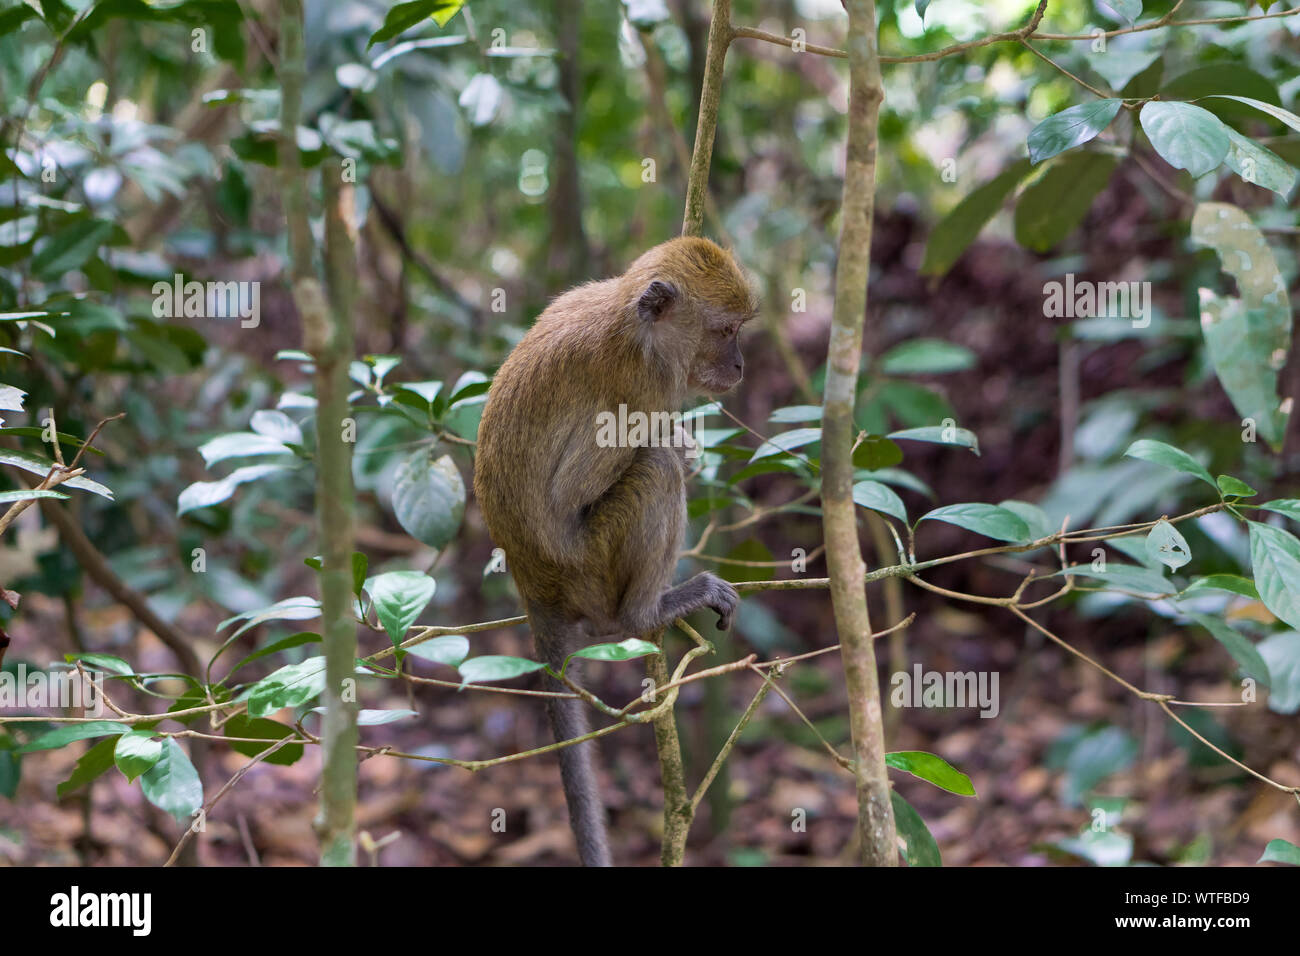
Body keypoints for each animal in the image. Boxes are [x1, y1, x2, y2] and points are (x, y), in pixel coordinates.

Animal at [473, 236, 758, 866]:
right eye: (725, 330)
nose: (741, 365)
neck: (634, 327)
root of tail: (534, 588)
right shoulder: (643, 389)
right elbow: (576, 492)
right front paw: (681, 443)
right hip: (588, 569)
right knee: (653, 469)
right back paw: (644, 612)